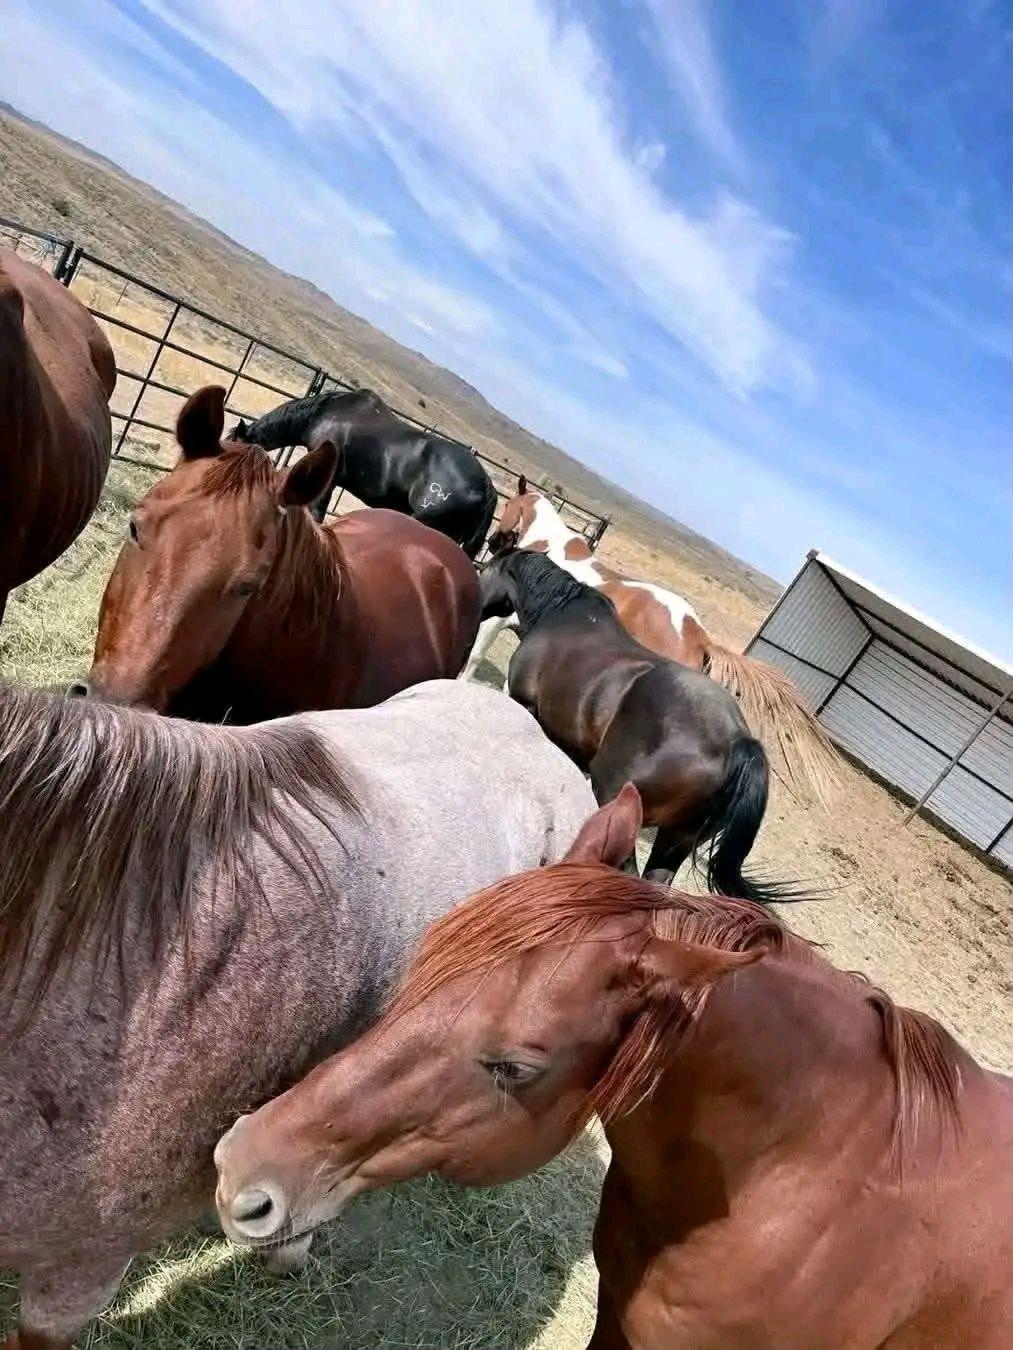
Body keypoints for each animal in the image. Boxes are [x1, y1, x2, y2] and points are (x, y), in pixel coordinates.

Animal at [475, 549, 790, 895]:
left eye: (484, 568)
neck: (558, 615)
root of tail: (737, 741)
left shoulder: (525, 705)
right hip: (677, 838)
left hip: (618, 802)